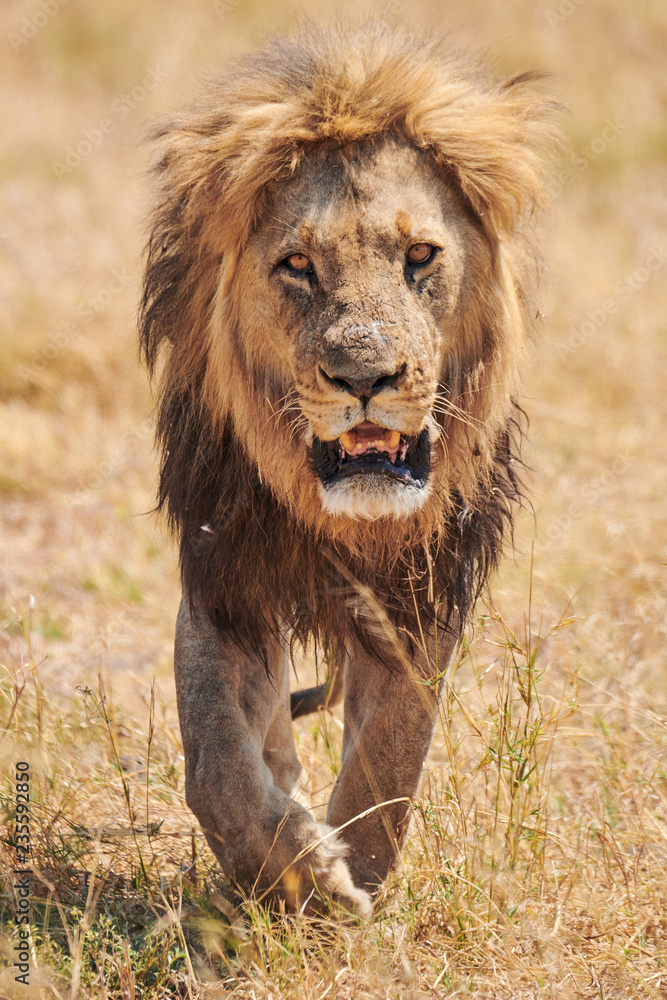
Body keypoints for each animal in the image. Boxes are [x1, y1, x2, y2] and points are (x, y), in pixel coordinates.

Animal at [140, 22, 559, 917]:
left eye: (420, 255)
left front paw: (353, 873)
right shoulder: (224, 577)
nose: (365, 377)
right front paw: (300, 875)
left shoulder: (420, 595)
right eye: (297, 265)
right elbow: (216, 759)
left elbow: (391, 753)